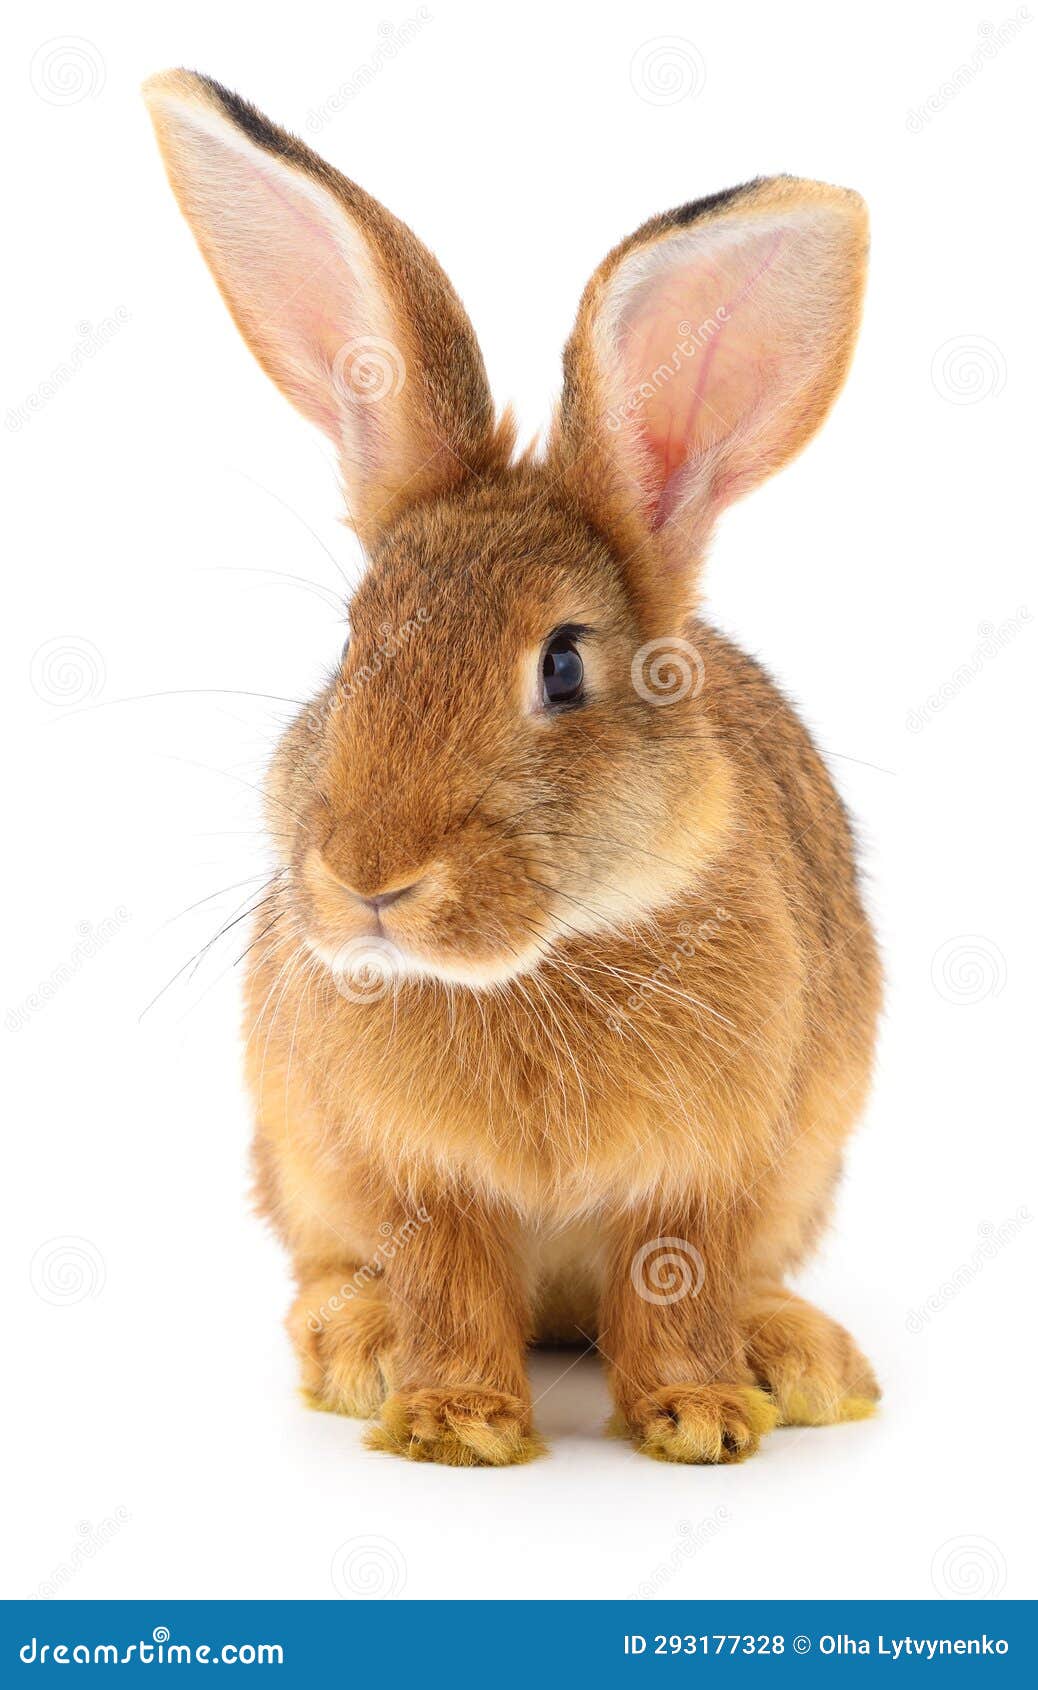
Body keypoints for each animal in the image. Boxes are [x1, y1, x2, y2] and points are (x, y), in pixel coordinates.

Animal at [144, 69, 882, 1465]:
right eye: (353, 645)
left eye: (564, 666)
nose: (370, 877)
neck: (538, 962)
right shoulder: (416, 1178)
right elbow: (447, 1280)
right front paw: (454, 1422)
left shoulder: (704, 1173)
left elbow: (678, 1282)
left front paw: (704, 1417)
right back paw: (353, 1342)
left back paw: (801, 1356)